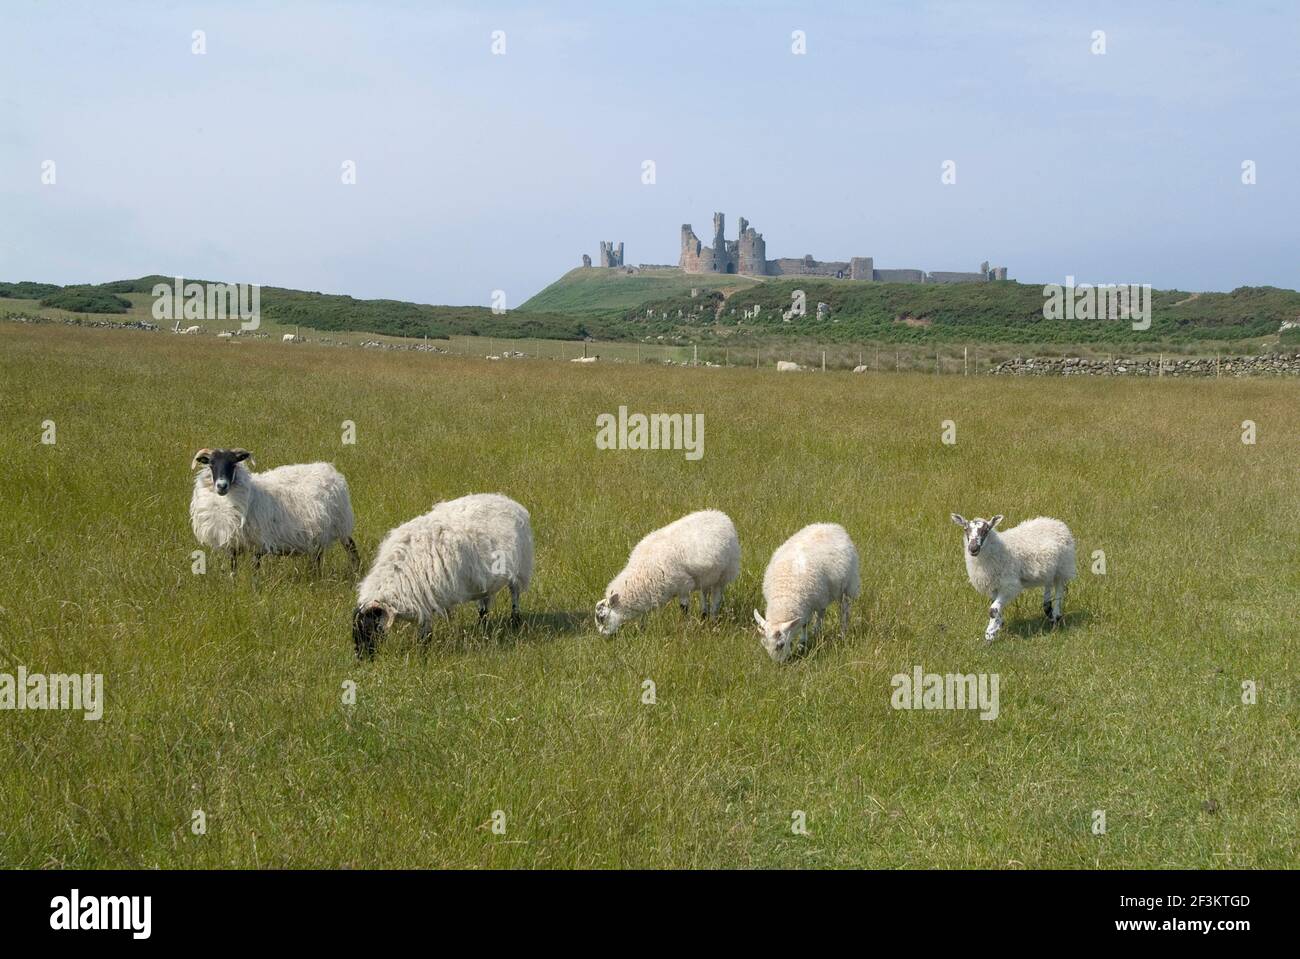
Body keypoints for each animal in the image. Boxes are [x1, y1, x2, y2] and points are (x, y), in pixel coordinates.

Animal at [190, 448, 358, 575]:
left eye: (233, 464)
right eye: (211, 464)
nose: (221, 485)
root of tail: (330, 470)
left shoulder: (258, 541)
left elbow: (255, 569)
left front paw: (255, 590)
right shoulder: (233, 543)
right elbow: (233, 568)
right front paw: (233, 586)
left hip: (340, 523)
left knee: (351, 547)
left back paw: (356, 571)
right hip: (318, 531)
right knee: (317, 556)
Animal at [352, 493, 533, 658]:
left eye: (369, 628)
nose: (361, 658)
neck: (398, 575)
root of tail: (510, 501)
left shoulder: (426, 597)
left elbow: (425, 632)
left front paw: (423, 654)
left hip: (520, 568)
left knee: (515, 594)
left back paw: (515, 619)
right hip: (485, 582)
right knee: (484, 603)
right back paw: (482, 624)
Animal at [594, 510, 740, 636]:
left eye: (602, 617)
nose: (604, 637)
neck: (641, 574)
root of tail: (720, 515)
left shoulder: (683, 586)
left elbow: (684, 609)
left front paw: (684, 628)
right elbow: (643, 616)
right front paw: (642, 629)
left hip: (724, 574)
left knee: (716, 598)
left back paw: (713, 620)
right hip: (707, 577)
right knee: (704, 595)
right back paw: (703, 616)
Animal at [753, 523, 860, 662]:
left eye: (781, 645)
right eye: (764, 643)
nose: (779, 664)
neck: (784, 595)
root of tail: (831, 525)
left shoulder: (816, 601)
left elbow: (807, 623)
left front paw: (804, 641)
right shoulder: (805, 604)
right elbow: (804, 624)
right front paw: (803, 642)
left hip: (846, 587)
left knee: (843, 610)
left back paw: (841, 631)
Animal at [949, 514, 1077, 643]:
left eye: (986, 530)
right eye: (966, 529)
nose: (973, 548)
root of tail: (1054, 521)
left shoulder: (1009, 585)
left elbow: (993, 610)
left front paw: (989, 636)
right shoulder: (993, 585)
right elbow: (995, 607)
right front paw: (998, 625)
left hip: (1063, 566)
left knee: (1059, 590)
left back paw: (1055, 617)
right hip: (1049, 569)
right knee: (1048, 584)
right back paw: (1048, 609)